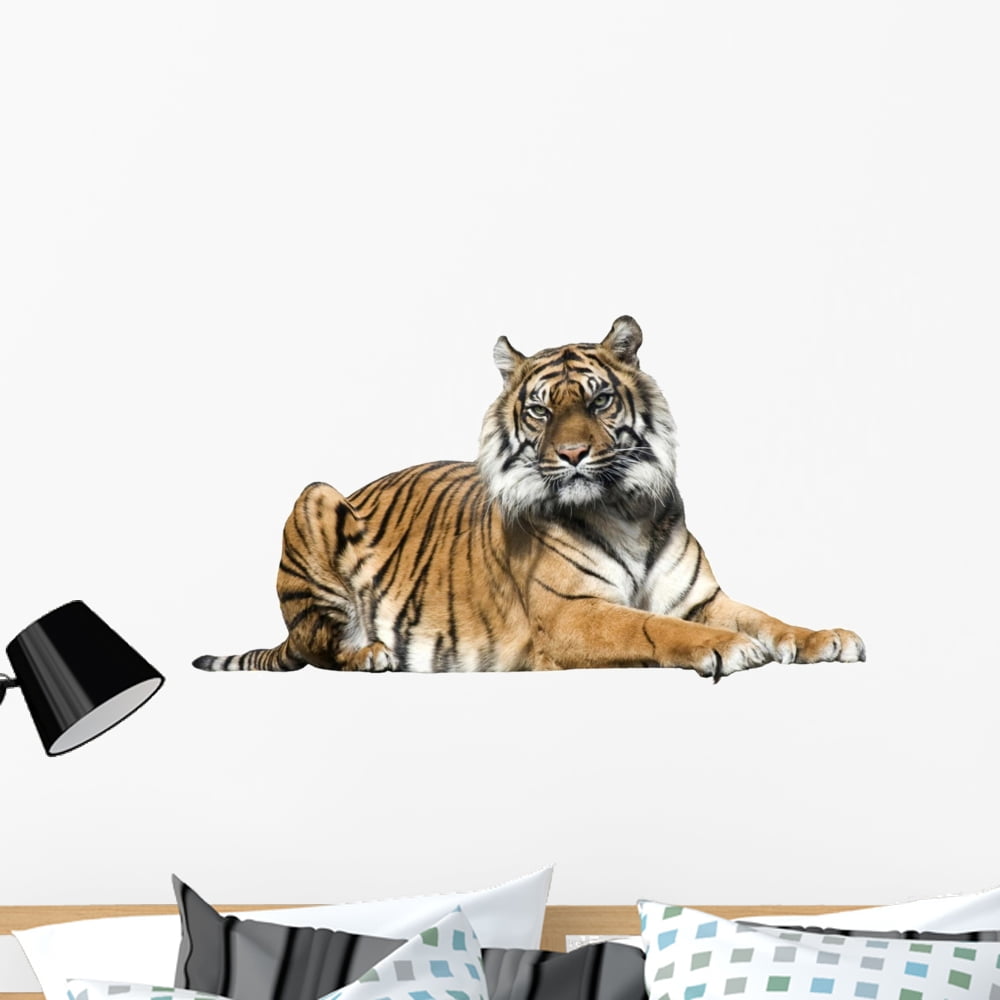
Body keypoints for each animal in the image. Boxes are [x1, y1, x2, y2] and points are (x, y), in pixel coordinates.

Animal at [193, 316, 865, 679]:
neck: (624, 509)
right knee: (322, 649)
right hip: (315, 499)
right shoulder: (571, 614)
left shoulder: (702, 598)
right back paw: (373, 655)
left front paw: (826, 638)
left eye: (599, 400)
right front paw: (729, 649)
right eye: (541, 409)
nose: (571, 454)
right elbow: (652, 627)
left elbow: (767, 616)